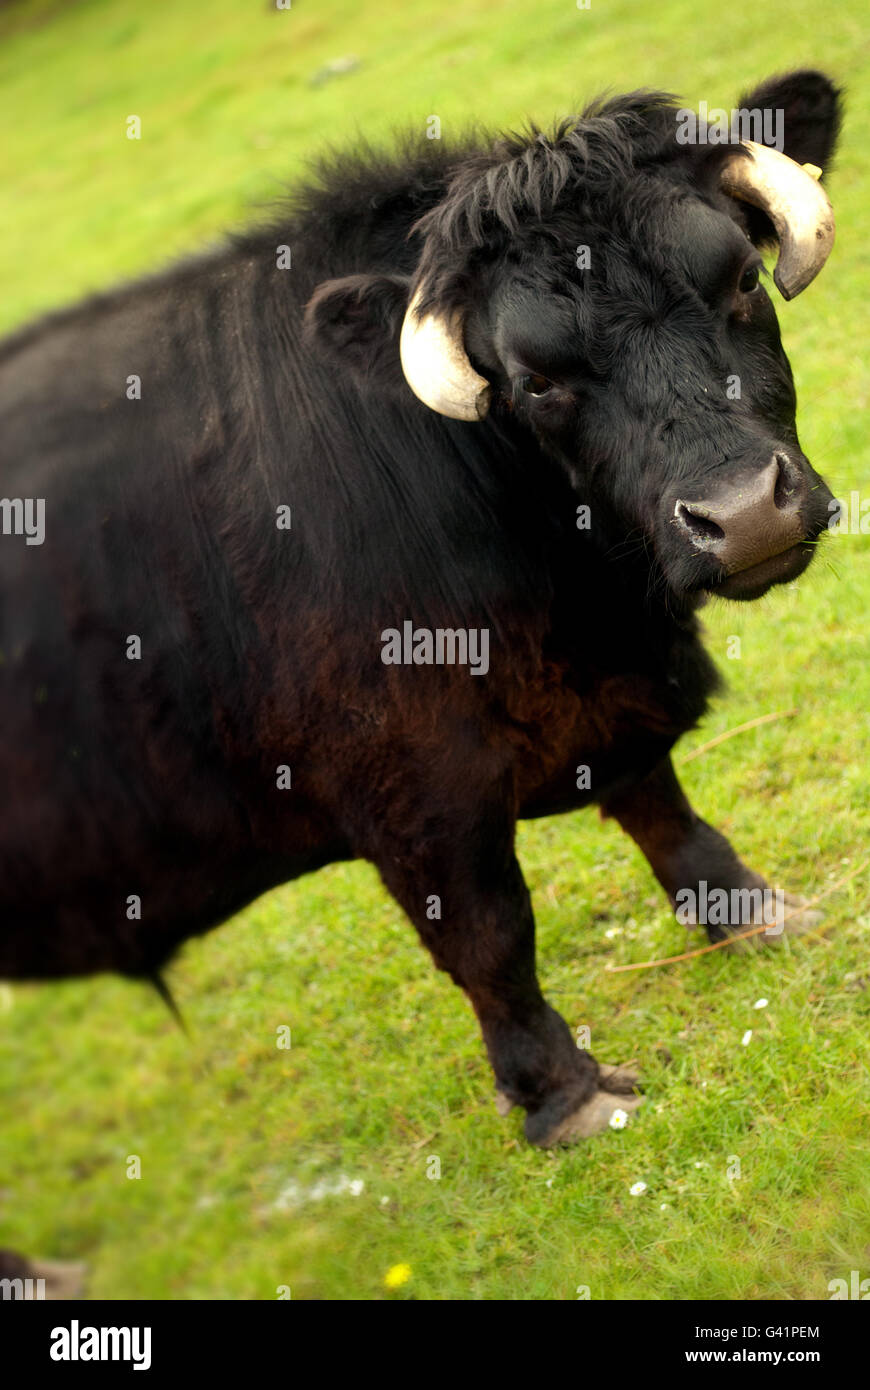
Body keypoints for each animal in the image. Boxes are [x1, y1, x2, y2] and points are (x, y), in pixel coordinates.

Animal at [0, 64, 841, 1253]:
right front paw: (566, 1094)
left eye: (738, 282)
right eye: (536, 380)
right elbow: (491, 938)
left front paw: (751, 910)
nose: (743, 514)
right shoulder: (411, 791)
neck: (588, 602)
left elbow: (665, 809)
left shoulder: (610, 701)